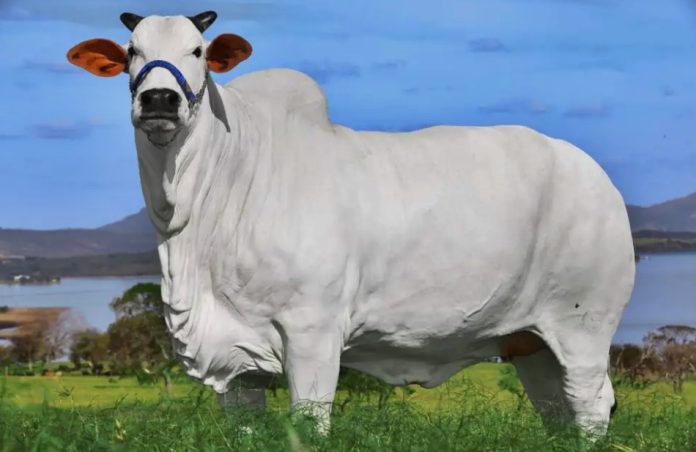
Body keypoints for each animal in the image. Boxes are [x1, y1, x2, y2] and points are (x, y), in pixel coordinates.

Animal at [67, 11, 635, 435]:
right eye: (131, 52)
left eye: (198, 51)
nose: (159, 99)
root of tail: (594, 175)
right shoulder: (235, 359)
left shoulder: (312, 333)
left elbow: (310, 423)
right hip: (532, 344)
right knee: (557, 412)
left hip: (584, 328)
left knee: (590, 408)